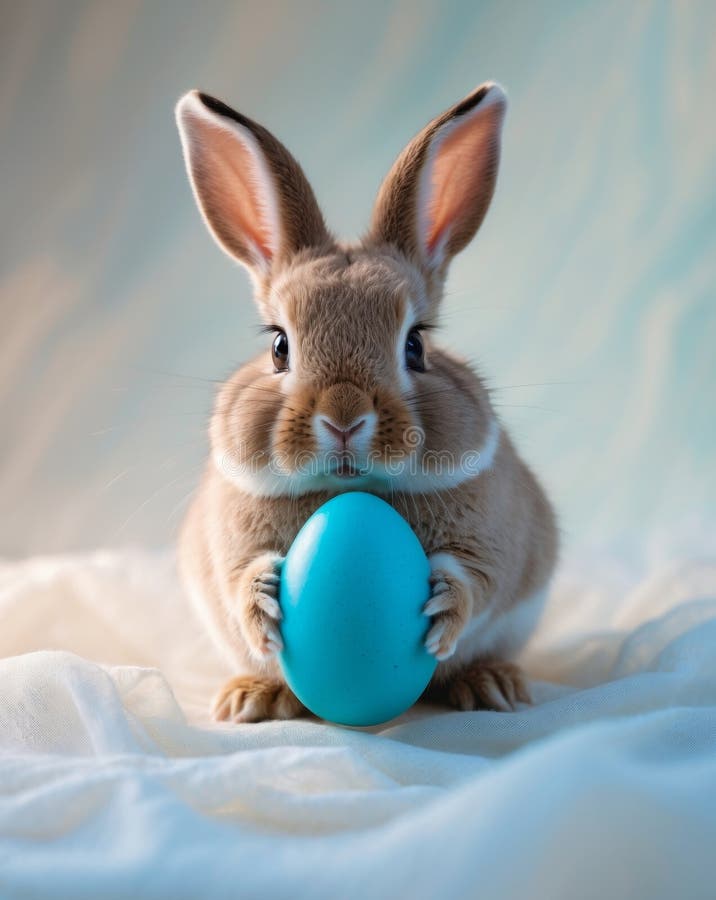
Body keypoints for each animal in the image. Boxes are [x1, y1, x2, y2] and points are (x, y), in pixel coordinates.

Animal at [175, 83, 558, 724]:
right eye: (279, 346)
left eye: (416, 345)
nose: (344, 419)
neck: (353, 491)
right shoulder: (227, 543)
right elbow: (237, 576)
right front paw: (261, 603)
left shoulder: (493, 540)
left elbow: (476, 578)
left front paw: (445, 607)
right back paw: (252, 699)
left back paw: (491, 686)